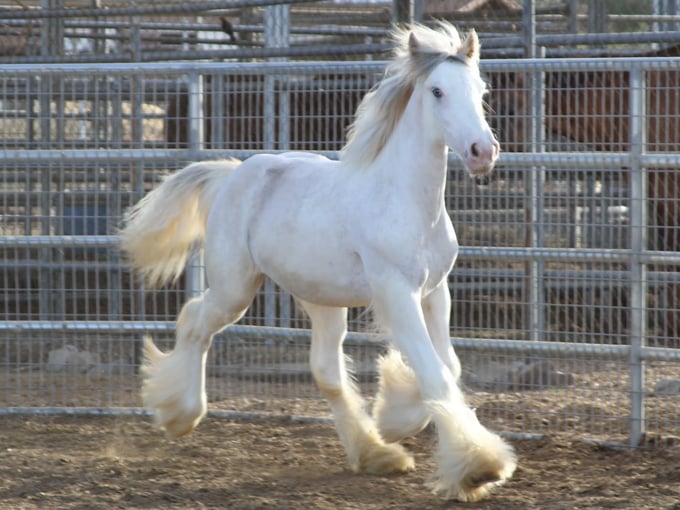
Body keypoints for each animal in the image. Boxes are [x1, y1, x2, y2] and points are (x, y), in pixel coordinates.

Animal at [120, 22, 516, 502]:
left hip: (322, 299)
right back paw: (180, 414)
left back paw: (376, 453)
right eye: (437, 90)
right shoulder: (395, 293)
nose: (482, 152)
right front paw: (479, 467)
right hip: (236, 286)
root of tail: (232, 174)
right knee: (195, 319)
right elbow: (434, 372)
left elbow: (449, 367)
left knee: (326, 370)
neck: (405, 201)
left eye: (480, 89)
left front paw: (396, 418)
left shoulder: (435, 292)